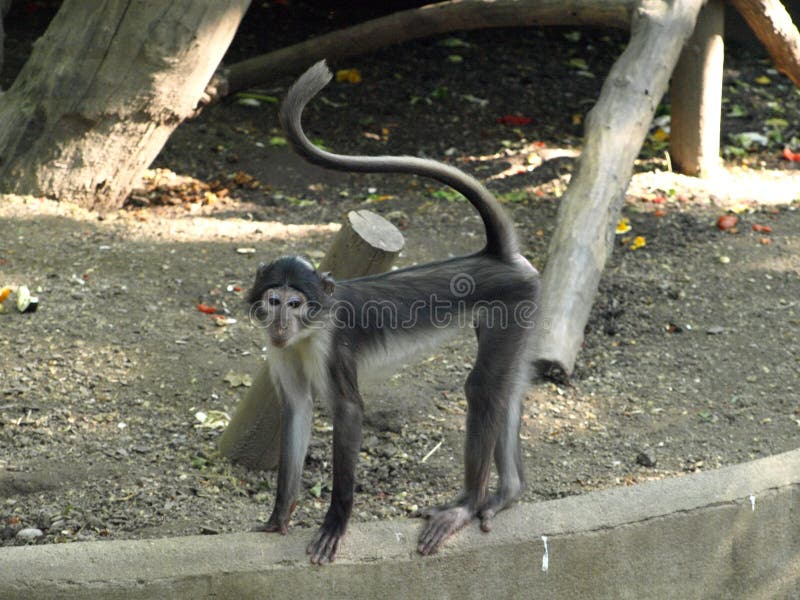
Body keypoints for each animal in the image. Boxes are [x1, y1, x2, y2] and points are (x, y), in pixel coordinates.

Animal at [247, 61, 540, 564]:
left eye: (296, 304)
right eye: (273, 301)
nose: (281, 321)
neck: (305, 334)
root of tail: (496, 257)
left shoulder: (330, 345)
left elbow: (349, 412)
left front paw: (335, 524)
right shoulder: (280, 349)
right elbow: (298, 409)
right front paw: (278, 517)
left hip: (514, 303)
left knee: (483, 387)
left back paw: (467, 506)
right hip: (515, 313)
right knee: (508, 386)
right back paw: (507, 494)